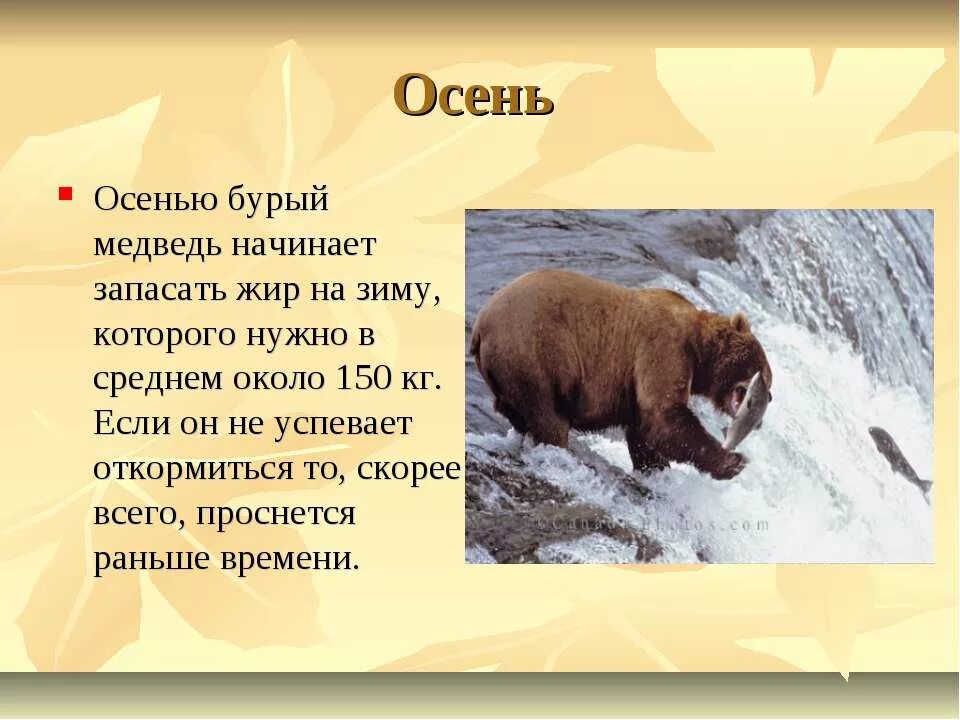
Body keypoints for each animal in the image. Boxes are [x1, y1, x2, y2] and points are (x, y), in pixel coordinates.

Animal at [469, 269, 772, 480]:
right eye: (765, 372)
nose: (768, 398)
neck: (699, 350)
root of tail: (480, 328)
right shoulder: (663, 347)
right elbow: (663, 413)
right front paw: (732, 462)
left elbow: (644, 427)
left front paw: (654, 467)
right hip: (535, 353)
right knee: (548, 417)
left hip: (507, 373)